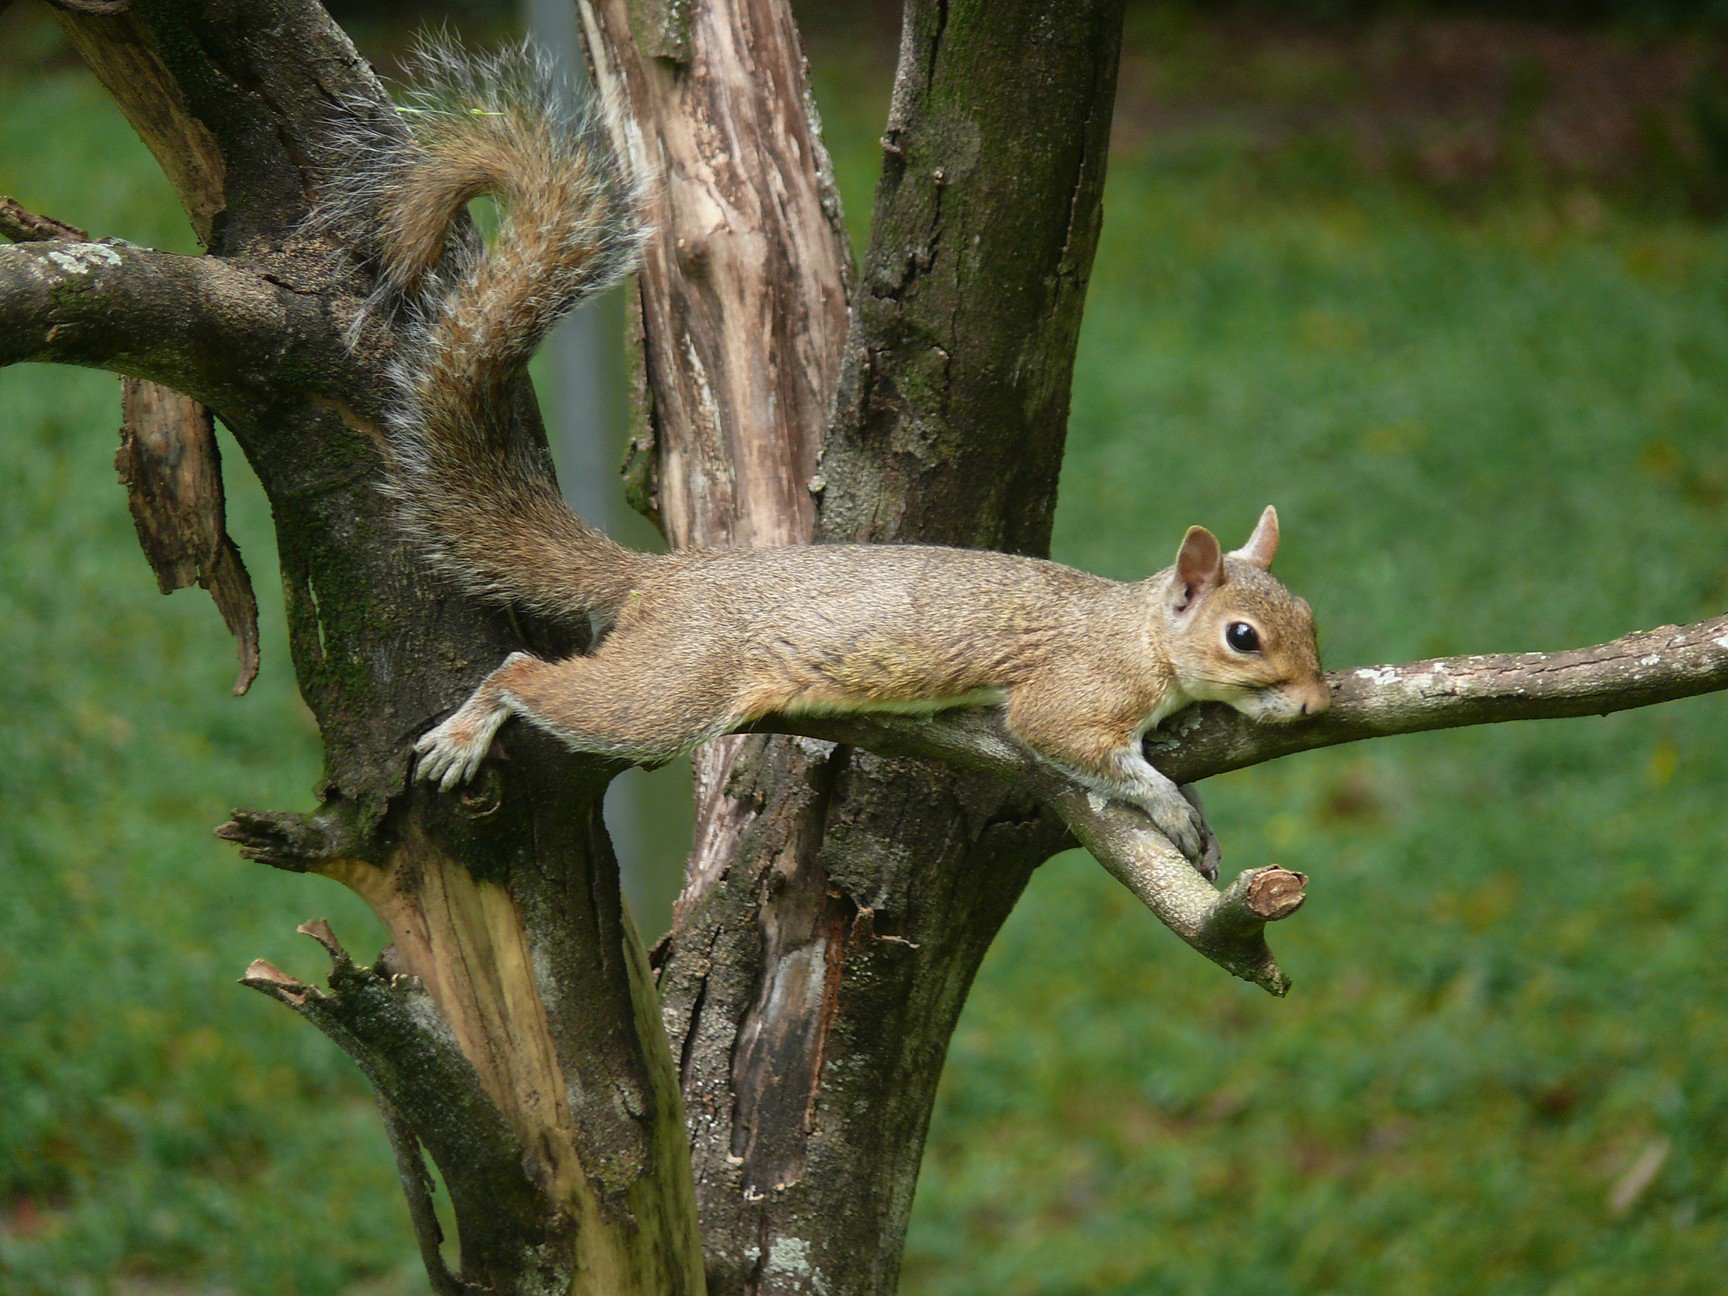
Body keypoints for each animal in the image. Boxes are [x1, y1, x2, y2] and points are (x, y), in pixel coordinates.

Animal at [327, 44, 1330, 869]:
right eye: (1243, 636)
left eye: (1310, 617)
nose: (1320, 703)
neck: (1135, 630)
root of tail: (666, 579)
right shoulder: (1073, 692)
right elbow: (1074, 744)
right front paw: (1168, 802)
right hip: (672, 688)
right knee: (535, 677)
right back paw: (471, 726)